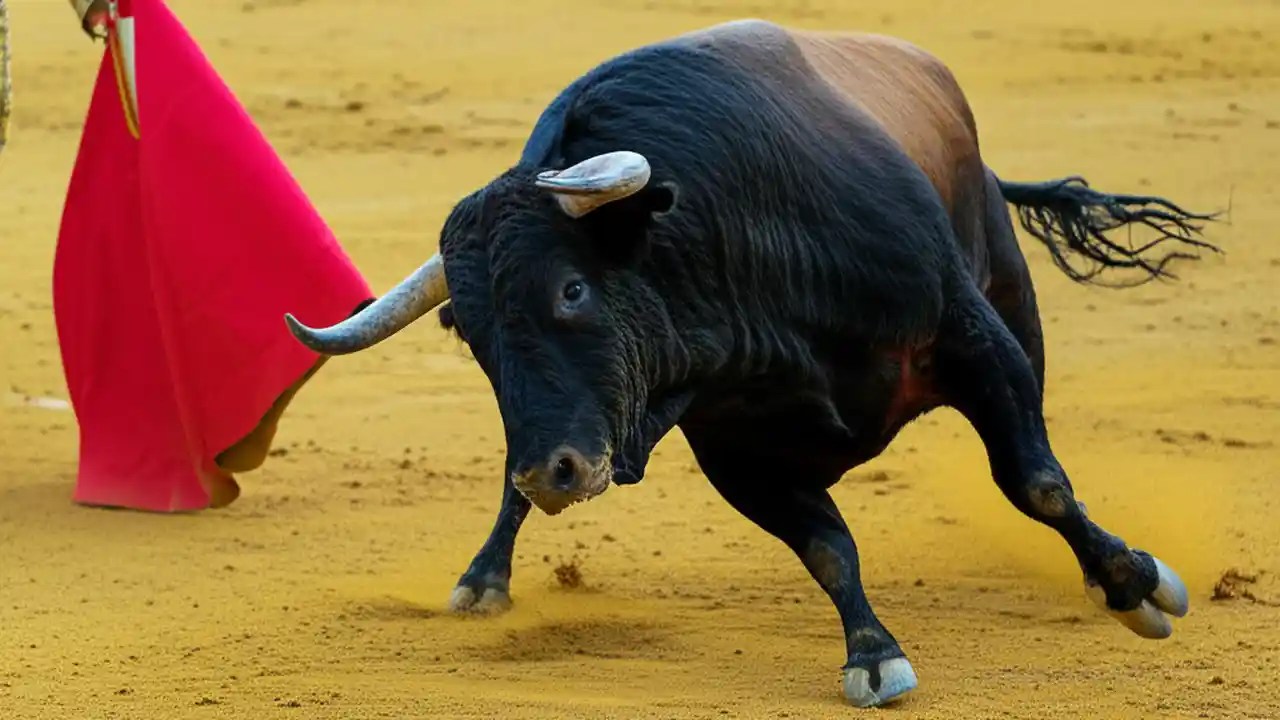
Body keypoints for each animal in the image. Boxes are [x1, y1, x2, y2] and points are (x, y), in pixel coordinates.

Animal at [282, 20, 1219, 708]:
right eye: (473, 337)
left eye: (572, 289)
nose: (557, 474)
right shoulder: (735, 450)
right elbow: (828, 546)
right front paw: (873, 655)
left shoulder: (974, 339)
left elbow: (1038, 483)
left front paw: (1135, 585)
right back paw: (483, 578)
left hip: (1011, 290)